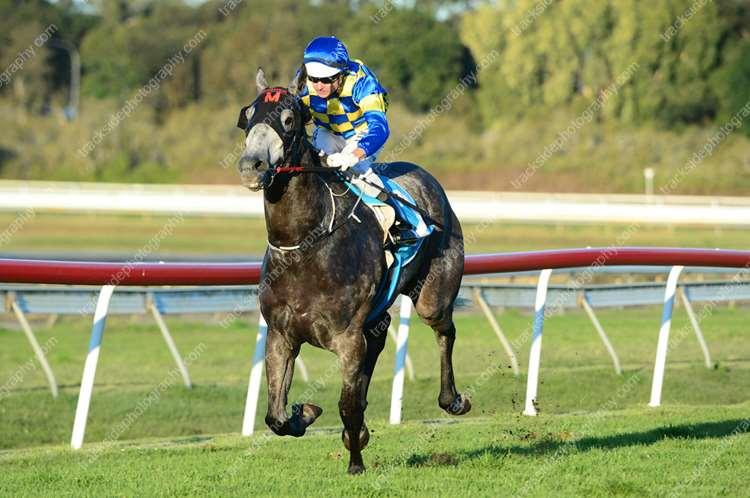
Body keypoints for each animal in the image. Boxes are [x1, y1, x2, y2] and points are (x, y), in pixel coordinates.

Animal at [236, 67, 471, 474]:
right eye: (247, 117)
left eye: (289, 119)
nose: (253, 166)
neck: (304, 243)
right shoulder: (282, 335)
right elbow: (275, 416)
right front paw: (306, 412)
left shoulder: (347, 338)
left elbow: (346, 403)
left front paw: (355, 464)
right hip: (374, 317)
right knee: (379, 339)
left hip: (434, 294)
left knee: (445, 330)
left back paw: (453, 400)